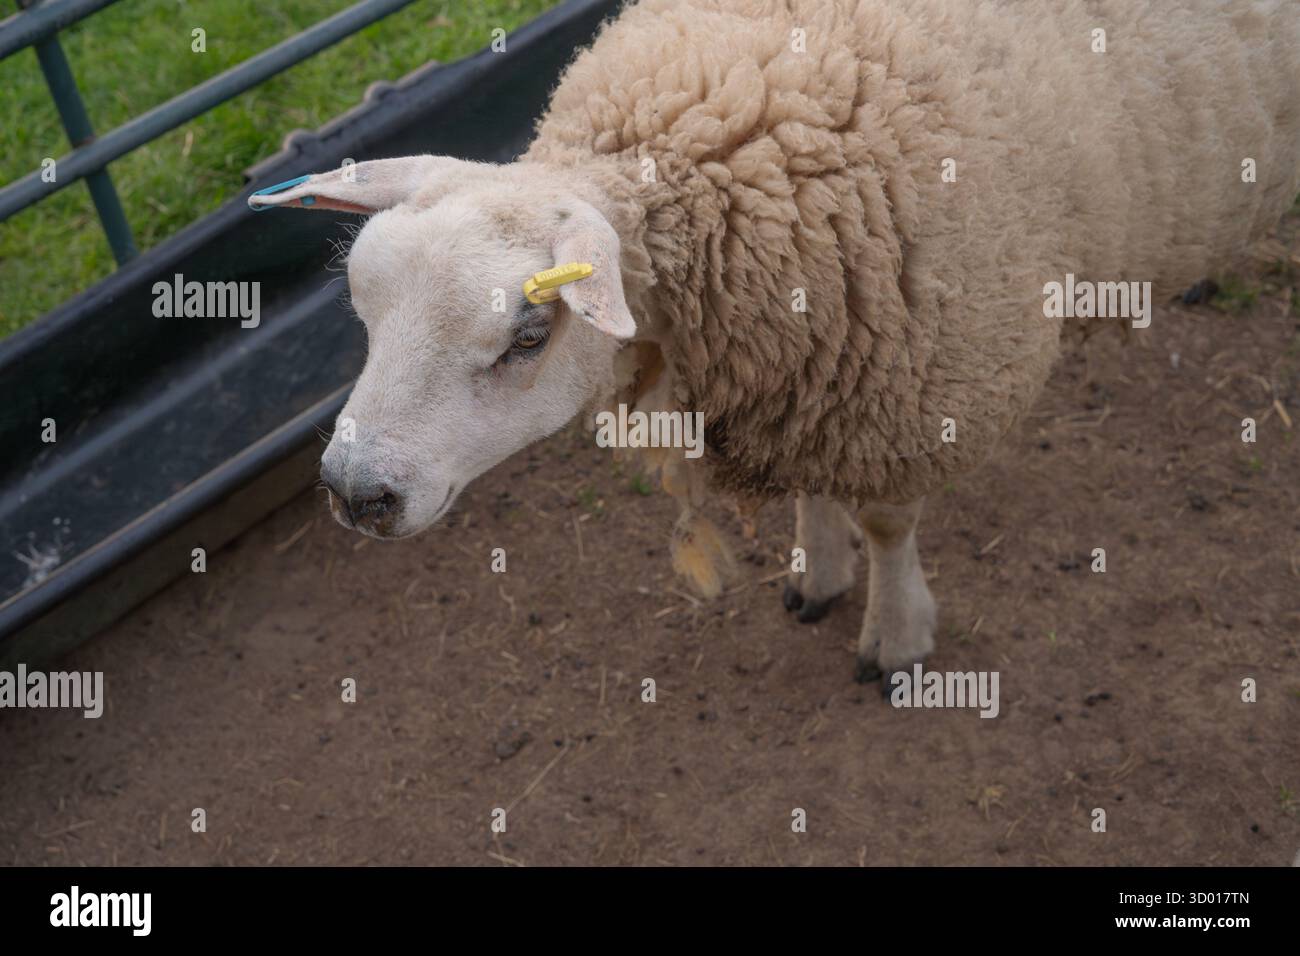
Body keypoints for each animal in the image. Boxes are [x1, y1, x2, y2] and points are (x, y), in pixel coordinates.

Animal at [249, 0, 1300, 683]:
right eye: (363, 311)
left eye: (530, 334)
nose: (353, 494)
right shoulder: (807, 367)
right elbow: (815, 492)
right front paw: (817, 572)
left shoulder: (912, 392)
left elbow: (891, 526)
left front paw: (895, 635)